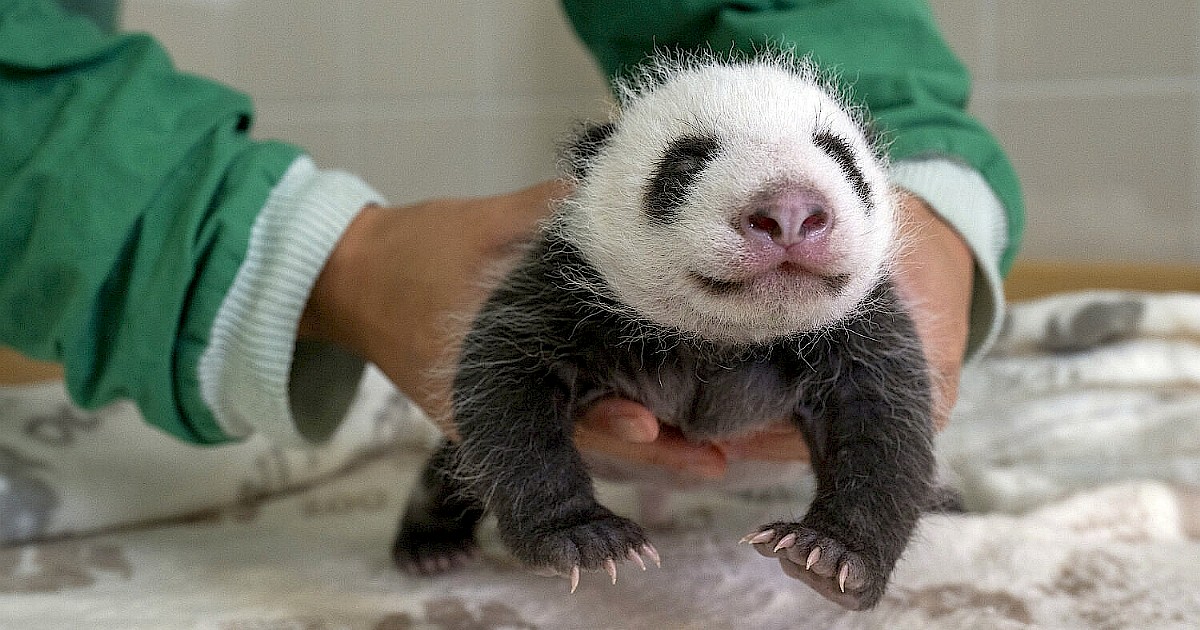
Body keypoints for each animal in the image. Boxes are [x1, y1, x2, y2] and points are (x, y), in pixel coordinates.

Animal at [392, 50, 948, 611]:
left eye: (840, 156)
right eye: (685, 163)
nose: (789, 211)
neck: (728, 338)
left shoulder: (861, 328)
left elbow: (885, 427)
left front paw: (832, 554)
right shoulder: (569, 290)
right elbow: (507, 388)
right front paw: (583, 538)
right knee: (453, 465)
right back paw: (431, 546)